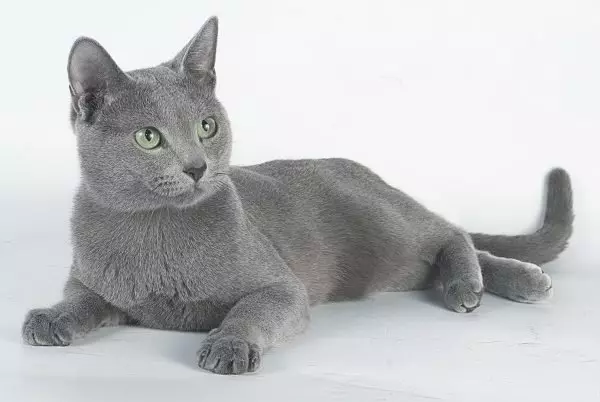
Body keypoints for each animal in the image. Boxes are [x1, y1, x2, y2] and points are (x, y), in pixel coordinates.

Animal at [23, 15, 576, 374]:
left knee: (451, 232)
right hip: (393, 263)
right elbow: (80, 302)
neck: (152, 227)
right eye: (148, 137)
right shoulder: (91, 282)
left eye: (206, 127)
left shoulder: (282, 287)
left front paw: (228, 344)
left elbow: (251, 310)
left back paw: (490, 284)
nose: (198, 167)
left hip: (385, 224)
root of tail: (365, 173)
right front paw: (51, 317)